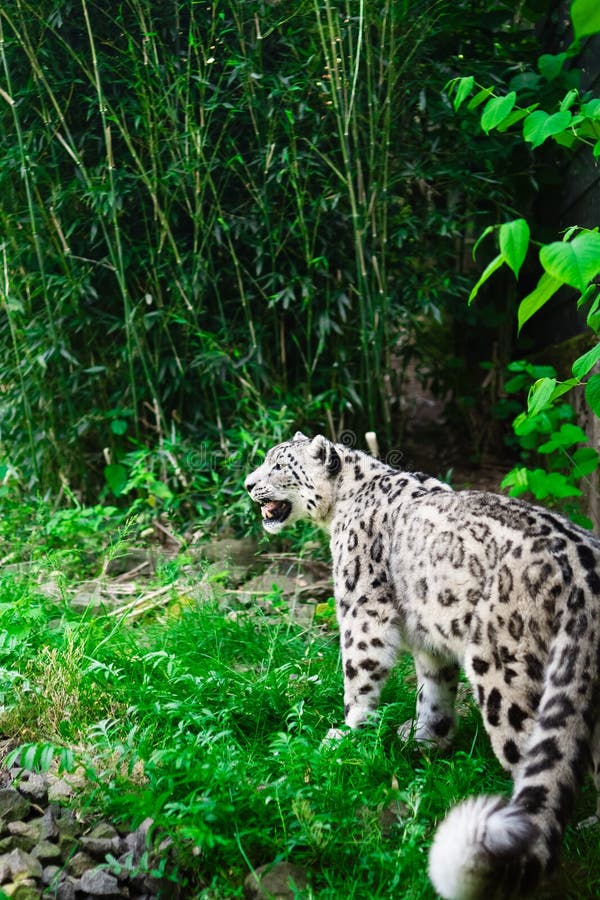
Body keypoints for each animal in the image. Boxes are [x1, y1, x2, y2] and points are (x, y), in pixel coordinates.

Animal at [245, 432, 600, 900]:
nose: (248, 484)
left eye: (279, 466)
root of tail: (585, 575)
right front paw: (426, 737)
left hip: (504, 673)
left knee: (530, 751)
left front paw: (344, 733)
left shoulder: (362, 608)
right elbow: (432, 686)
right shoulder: (431, 632)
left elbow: (359, 671)